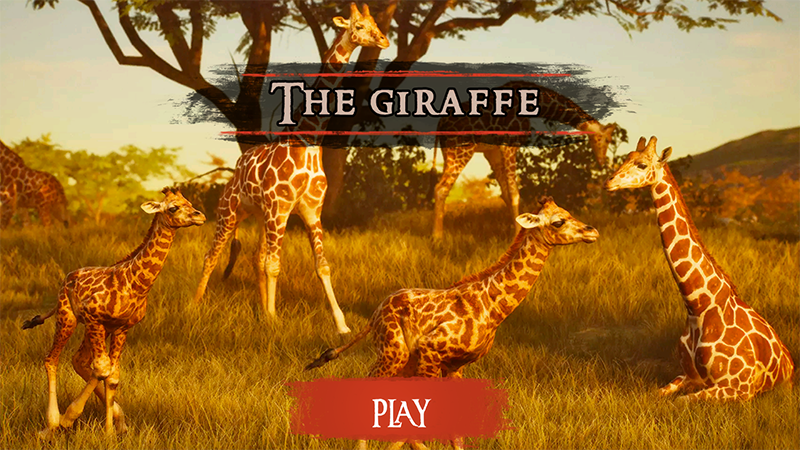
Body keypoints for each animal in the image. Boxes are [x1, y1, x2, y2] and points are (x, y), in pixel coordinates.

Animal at [22, 187, 206, 437]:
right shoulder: (94, 318)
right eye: (173, 207)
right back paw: (51, 423)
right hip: (68, 317)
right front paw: (69, 419)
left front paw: (111, 431)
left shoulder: (122, 328)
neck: (136, 284)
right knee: (52, 359)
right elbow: (102, 369)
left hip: (98, 328)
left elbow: (112, 376)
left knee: (79, 360)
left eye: (189, 201)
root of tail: (67, 278)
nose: (200, 216)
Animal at [192, 3, 389, 334]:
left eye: (375, 23)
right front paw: (273, 320)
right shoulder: (281, 208)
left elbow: (322, 266)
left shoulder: (310, 211)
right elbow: (275, 265)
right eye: (359, 27)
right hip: (230, 212)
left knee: (256, 257)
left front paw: (342, 325)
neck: (308, 141)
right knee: (211, 255)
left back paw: (259, 308)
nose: (384, 40)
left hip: (261, 217)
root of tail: (235, 172)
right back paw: (195, 305)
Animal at [306, 196, 599, 450]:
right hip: (394, 353)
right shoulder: (431, 351)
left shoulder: (456, 365)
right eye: (558, 221)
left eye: (569, 212)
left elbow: (454, 428)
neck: (492, 308)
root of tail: (375, 313)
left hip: (406, 361)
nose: (592, 231)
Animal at [432, 81, 616, 238]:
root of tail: (441, 124)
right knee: (441, 188)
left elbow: (506, 194)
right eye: (607, 139)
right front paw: (517, 234)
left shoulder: (493, 152)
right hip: (462, 150)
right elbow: (514, 193)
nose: (602, 161)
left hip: (448, 153)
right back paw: (437, 238)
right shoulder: (510, 145)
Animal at [605, 136, 794, 401]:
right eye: (626, 158)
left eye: (641, 164)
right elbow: (656, 394)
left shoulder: (739, 390)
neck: (698, 306)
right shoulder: (688, 376)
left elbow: (680, 402)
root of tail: (789, 361)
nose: (608, 182)